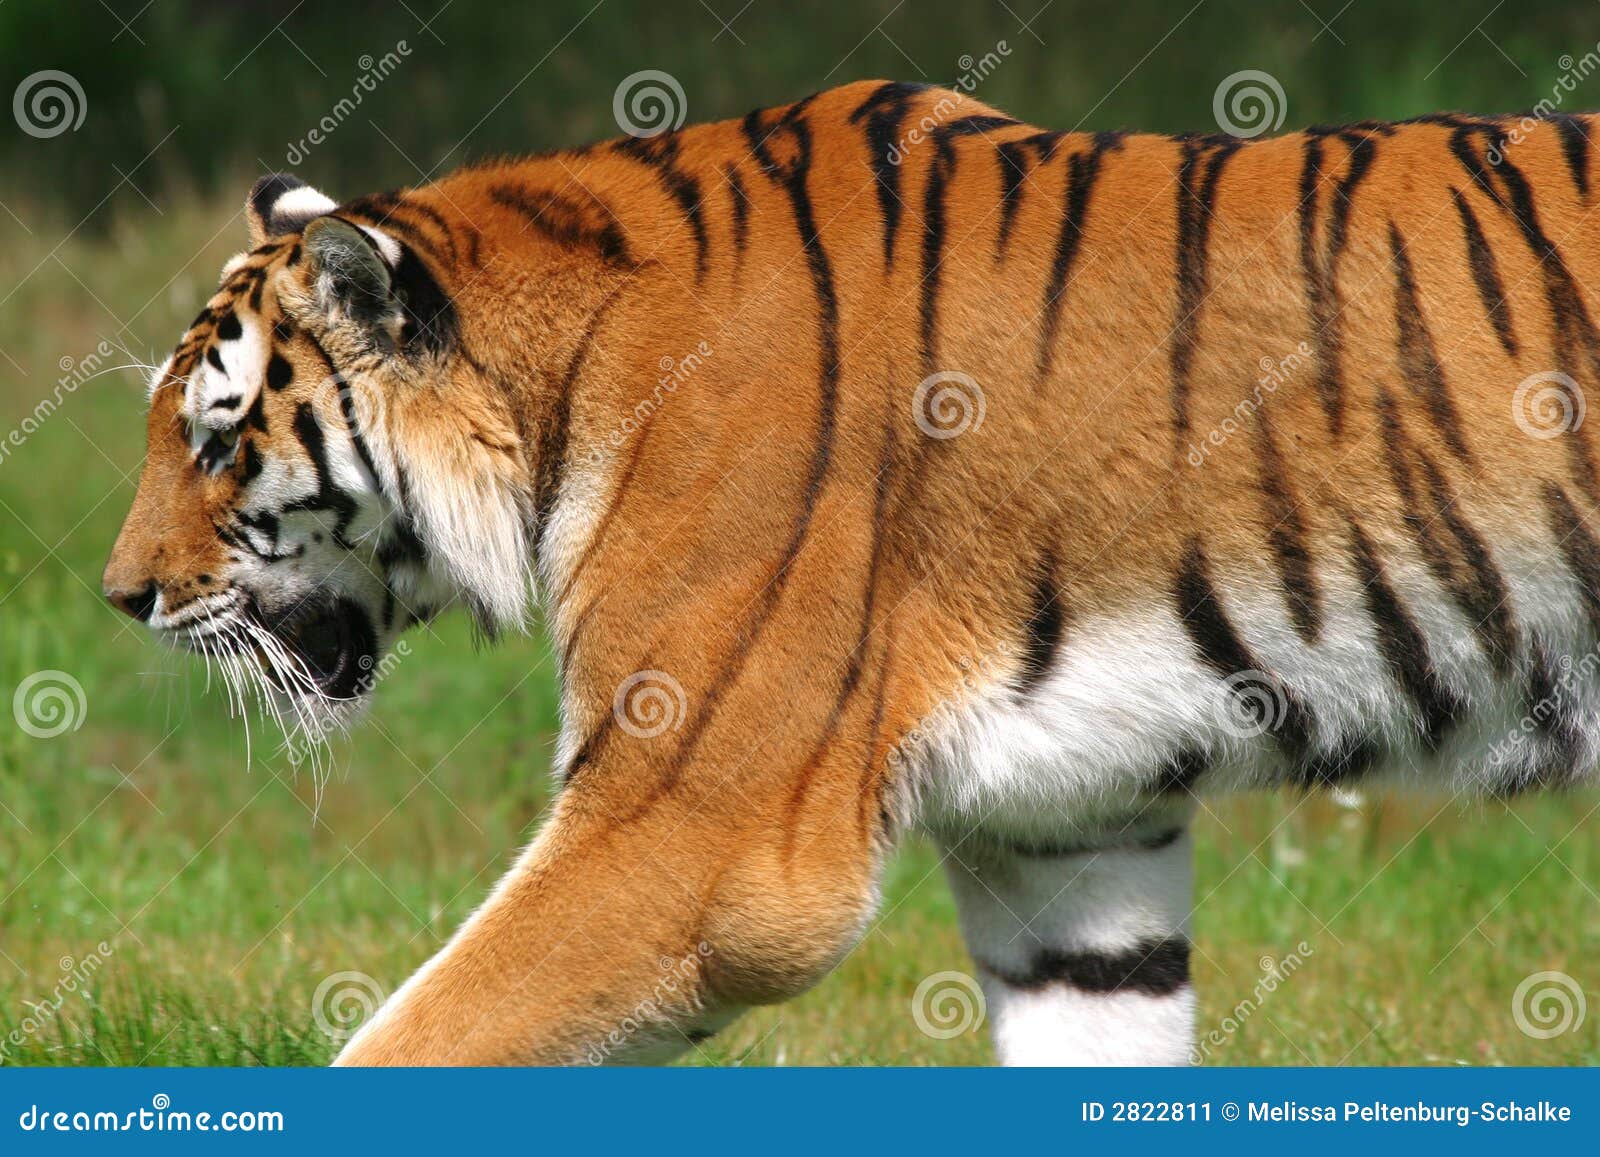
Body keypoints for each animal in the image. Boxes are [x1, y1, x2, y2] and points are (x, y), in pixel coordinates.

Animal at [102, 78, 1600, 1066]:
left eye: (219, 441)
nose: (122, 597)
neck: (557, 383)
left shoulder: (700, 834)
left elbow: (411, 1039)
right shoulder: (1071, 833)